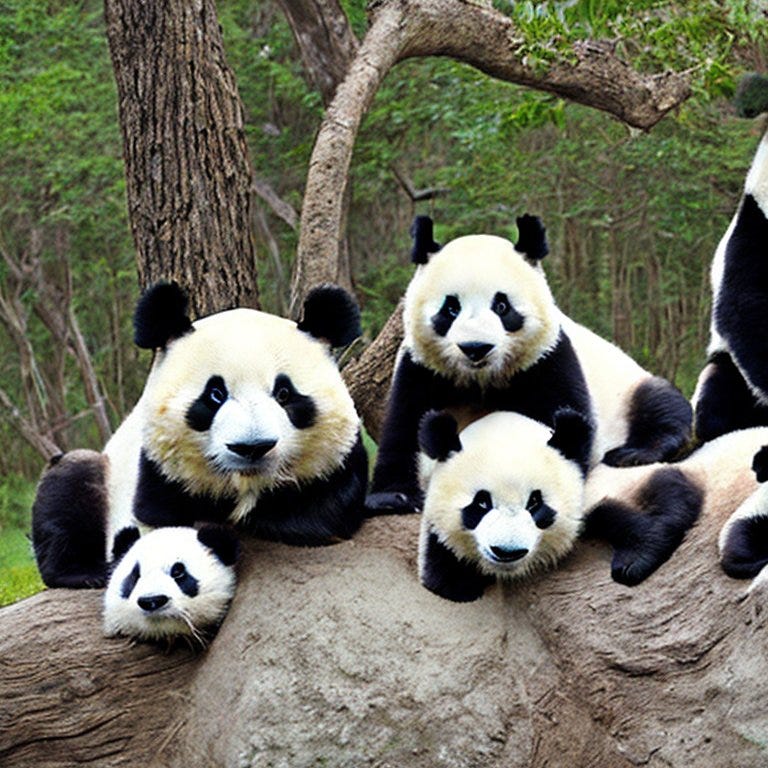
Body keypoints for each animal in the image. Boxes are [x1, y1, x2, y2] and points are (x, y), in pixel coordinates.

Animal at [32, 282, 368, 588]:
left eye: (284, 393)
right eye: (215, 395)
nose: (252, 447)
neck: (245, 484)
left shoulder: (335, 462)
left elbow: (323, 513)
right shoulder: (157, 473)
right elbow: (161, 519)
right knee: (69, 486)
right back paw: (85, 572)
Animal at [366, 214, 692, 514]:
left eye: (502, 306)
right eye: (450, 308)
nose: (476, 348)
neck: (480, 380)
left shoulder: (547, 359)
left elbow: (565, 426)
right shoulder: (422, 367)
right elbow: (405, 425)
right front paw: (394, 496)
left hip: (626, 384)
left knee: (660, 404)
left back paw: (634, 452)